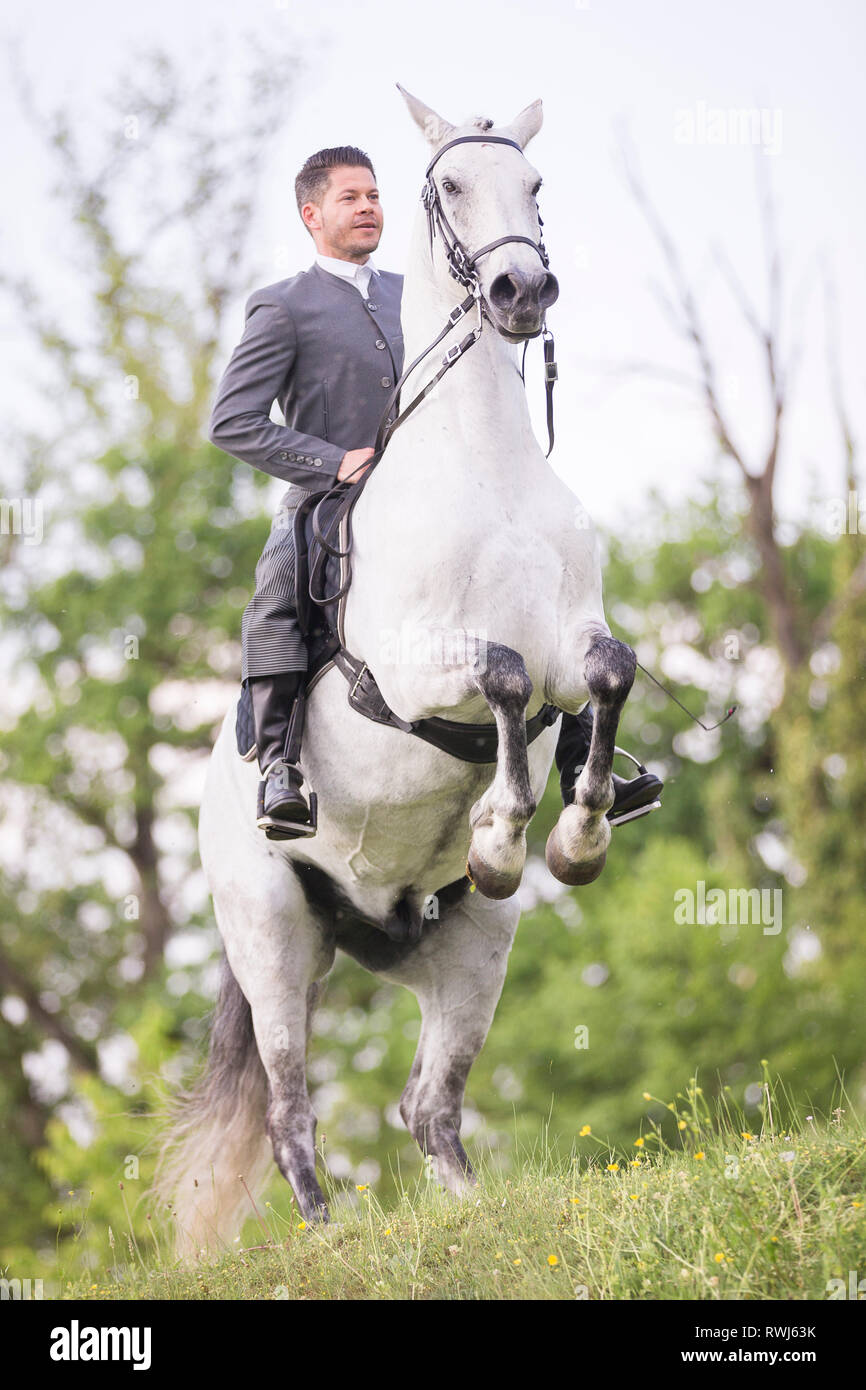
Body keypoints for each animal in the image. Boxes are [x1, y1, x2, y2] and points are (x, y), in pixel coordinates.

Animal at [154, 86, 636, 1260]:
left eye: (534, 185)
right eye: (449, 186)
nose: (521, 292)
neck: (486, 468)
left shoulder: (574, 645)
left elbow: (605, 673)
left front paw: (578, 832)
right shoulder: (420, 671)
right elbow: (503, 678)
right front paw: (507, 829)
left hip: (467, 944)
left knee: (429, 1104)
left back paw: (470, 1213)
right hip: (273, 941)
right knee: (288, 1109)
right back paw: (327, 1234)